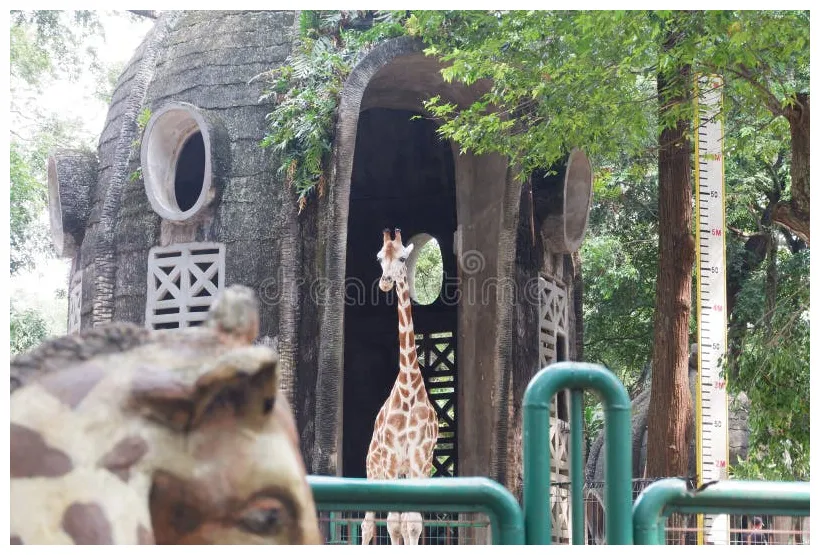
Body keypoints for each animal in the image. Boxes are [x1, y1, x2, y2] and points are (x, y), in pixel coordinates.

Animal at [360, 228, 440, 545]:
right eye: (379, 257)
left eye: (404, 258)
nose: (385, 281)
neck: (408, 388)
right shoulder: (392, 460)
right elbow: (394, 524)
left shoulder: (419, 460)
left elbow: (412, 524)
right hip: (374, 469)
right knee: (368, 524)